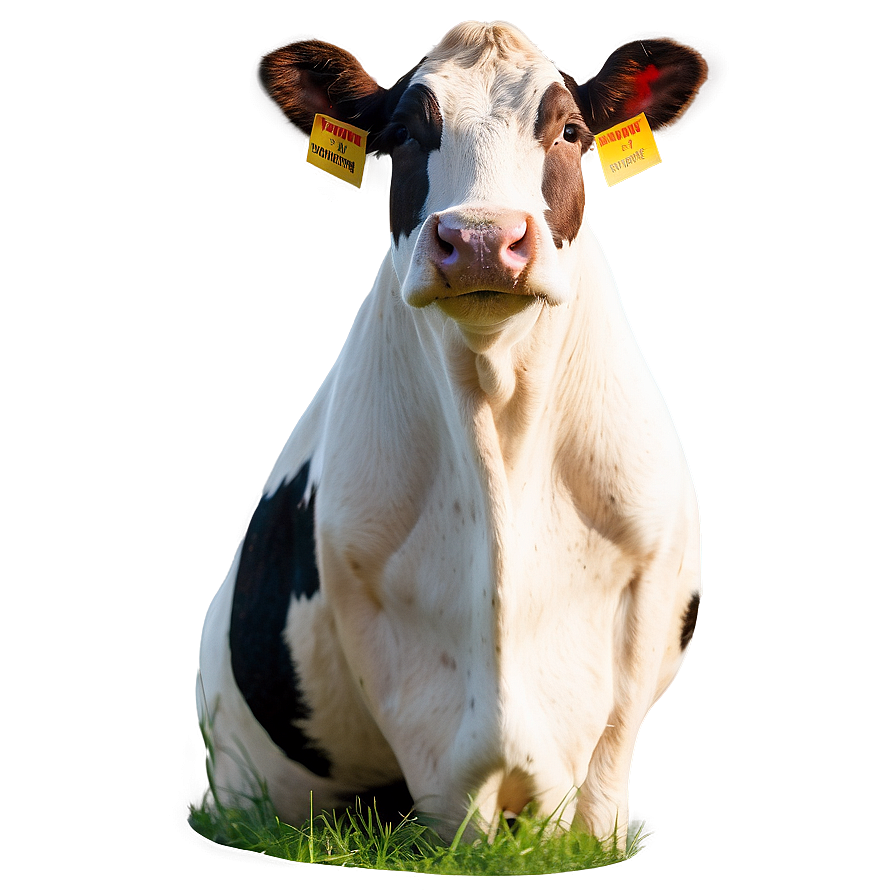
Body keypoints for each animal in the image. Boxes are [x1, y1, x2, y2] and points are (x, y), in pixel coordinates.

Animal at [197, 21, 705, 848]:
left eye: (569, 129)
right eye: (405, 133)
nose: (479, 239)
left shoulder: (646, 574)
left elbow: (605, 768)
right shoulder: (370, 599)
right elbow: (451, 793)